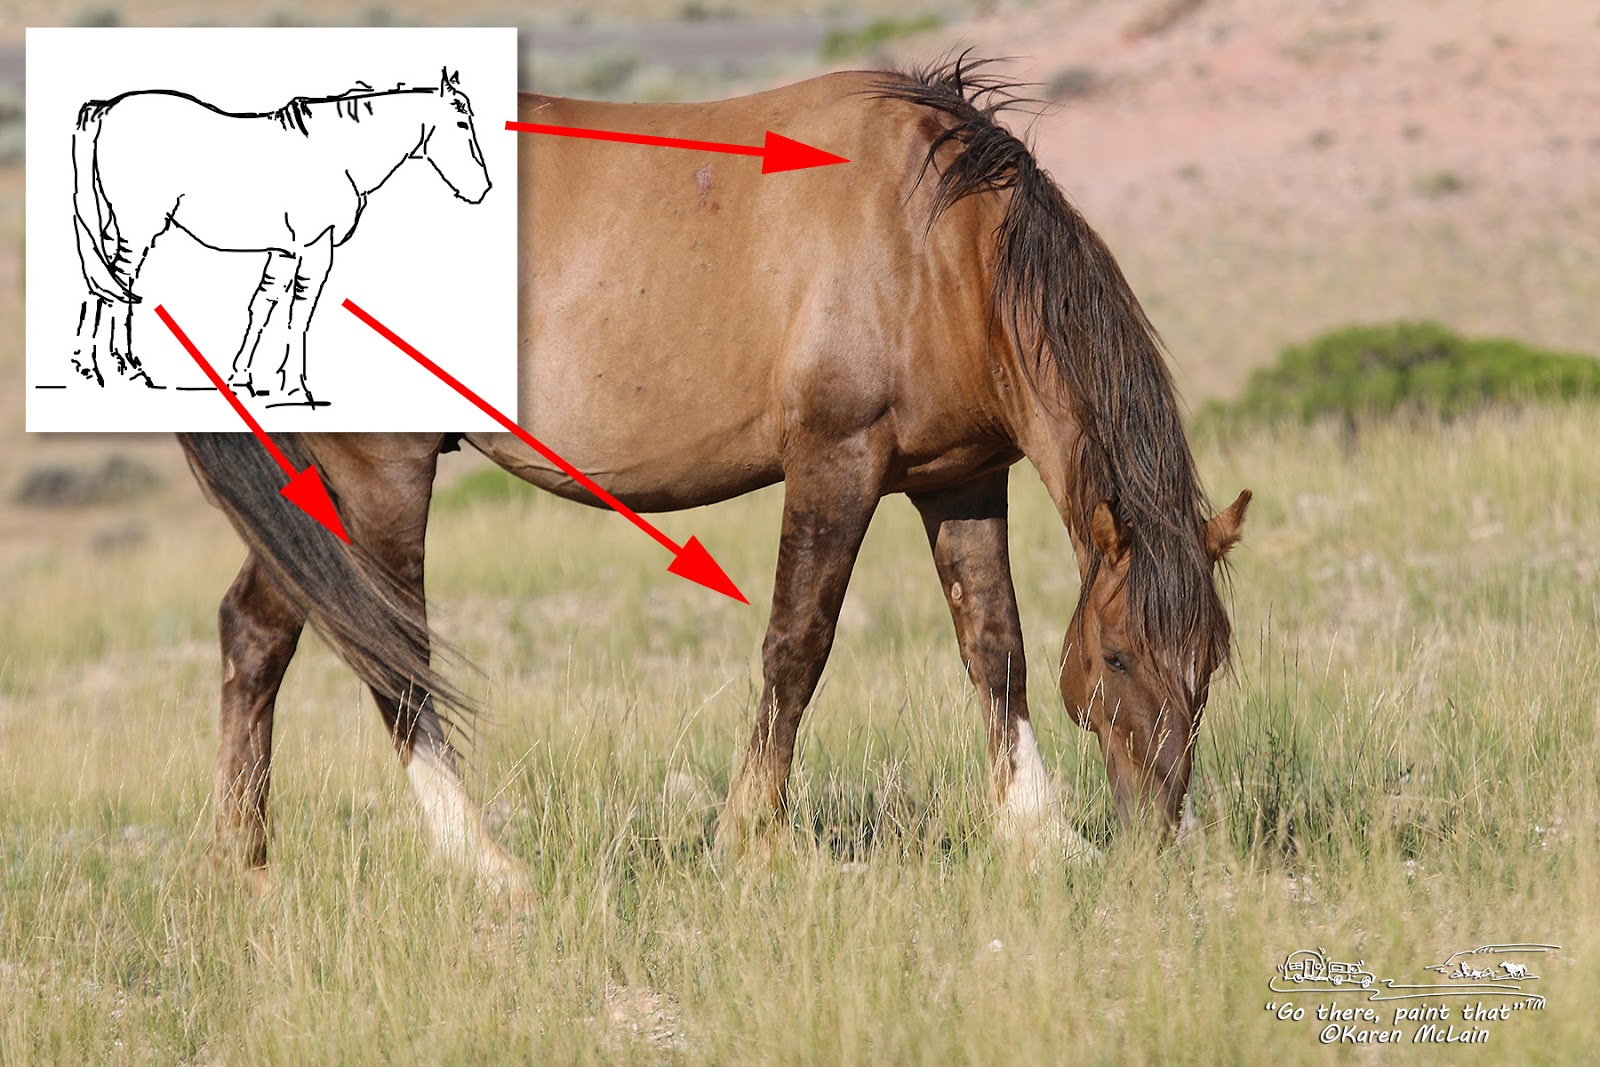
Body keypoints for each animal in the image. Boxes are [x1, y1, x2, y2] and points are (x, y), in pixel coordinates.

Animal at [71, 69, 490, 400]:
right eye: (461, 123)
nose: (483, 189)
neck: (337, 155)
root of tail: (106, 107)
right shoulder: (317, 248)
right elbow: (299, 313)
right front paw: (295, 387)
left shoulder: (284, 251)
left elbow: (263, 304)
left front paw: (241, 378)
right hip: (139, 225)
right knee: (117, 282)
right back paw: (125, 368)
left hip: (115, 223)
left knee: (102, 280)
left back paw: (90, 367)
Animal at [176, 58, 1251, 889]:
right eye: (1119, 657)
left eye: (1206, 664)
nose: (1156, 835)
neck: (940, 249)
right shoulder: (836, 462)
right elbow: (796, 646)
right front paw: (751, 840)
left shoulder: (960, 480)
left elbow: (996, 648)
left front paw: (1039, 834)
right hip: (382, 473)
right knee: (392, 656)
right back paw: (484, 863)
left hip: (318, 486)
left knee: (258, 632)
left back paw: (244, 866)